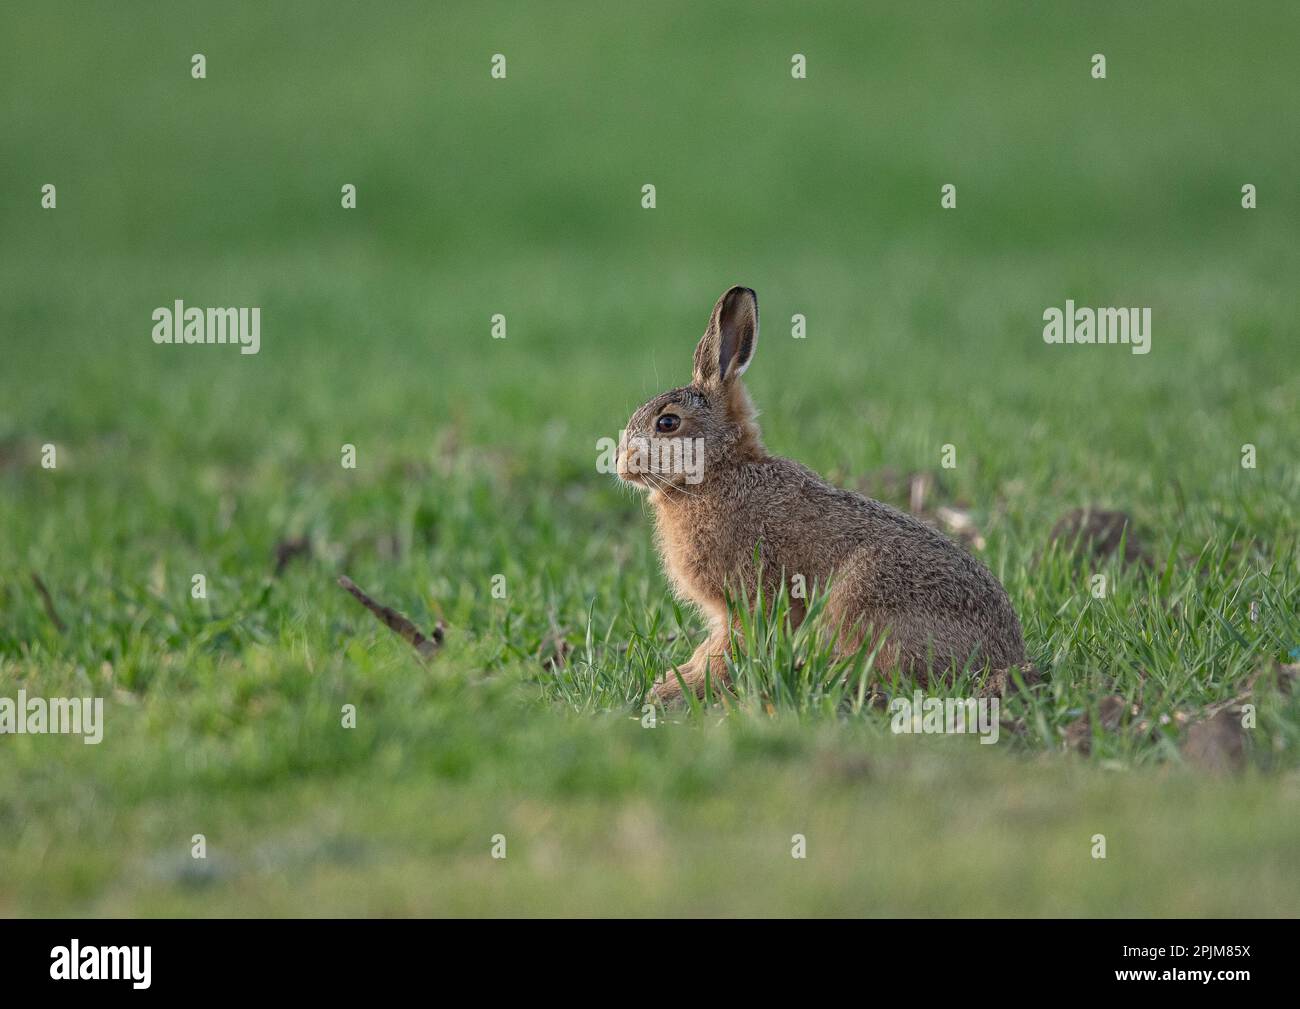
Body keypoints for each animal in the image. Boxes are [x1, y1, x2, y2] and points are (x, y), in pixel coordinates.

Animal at [615, 285, 1027, 702]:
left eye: (668, 423)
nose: (619, 462)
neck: (720, 469)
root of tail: (1007, 657)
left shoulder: (753, 597)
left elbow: (730, 646)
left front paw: (678, 688)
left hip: (862, 593)